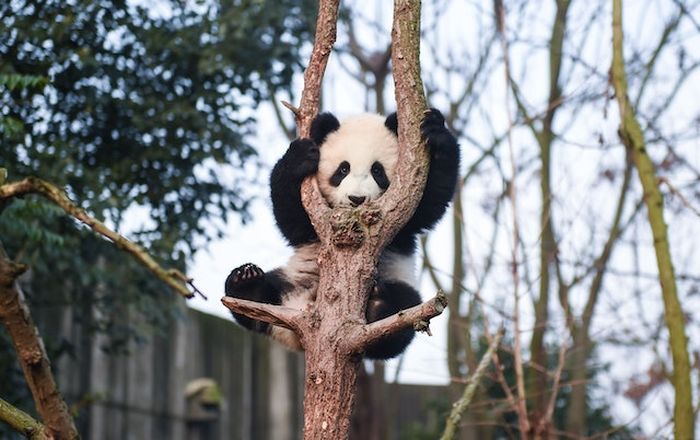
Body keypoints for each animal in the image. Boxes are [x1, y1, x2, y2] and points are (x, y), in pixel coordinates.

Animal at [225, 108, 459, 359]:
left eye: (377, 171)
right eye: (343, 169)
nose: (356, 199)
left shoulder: (404, 219)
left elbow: (430, 202)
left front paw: (435, 129)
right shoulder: (313, 221)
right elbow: (291, 218)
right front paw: (299, 157)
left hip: (398, 283)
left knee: (403, 311)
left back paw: (379, 307)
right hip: (291, 280)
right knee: (254, 297)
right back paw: (247, 281)